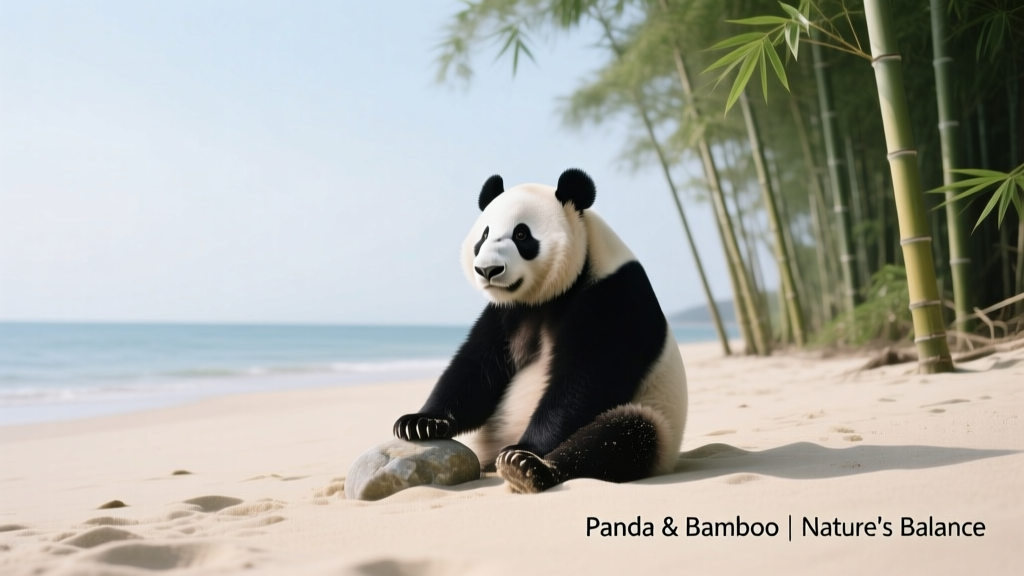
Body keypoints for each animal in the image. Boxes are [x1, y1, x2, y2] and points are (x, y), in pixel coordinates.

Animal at [394, 168, 687, 493]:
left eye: (521, 235)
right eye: (484, 235)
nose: (487, 270)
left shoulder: (615, 297)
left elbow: (585, 380)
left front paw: (528, 448)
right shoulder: (507, 313)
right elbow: (475, 368)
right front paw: (421, 423)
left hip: (657, 419)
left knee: (624, 436)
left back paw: (525, 466)